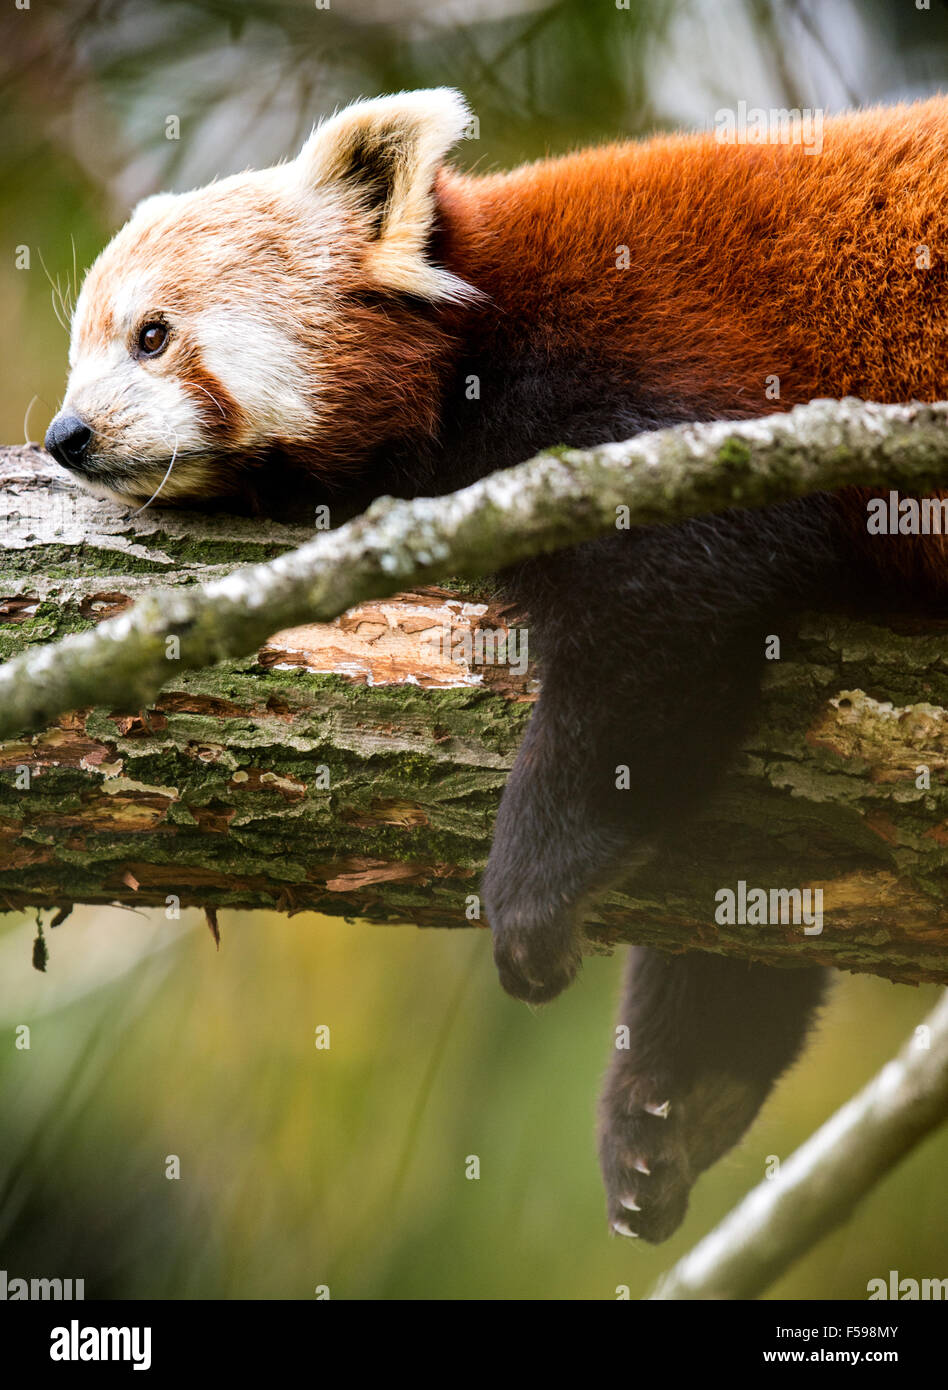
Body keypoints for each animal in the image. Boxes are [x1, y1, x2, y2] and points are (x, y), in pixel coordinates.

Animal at [45, 88, 948, 1243]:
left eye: (151, 335)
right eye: (84, 350)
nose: (66, 433)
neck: (479, 330)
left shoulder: (661, 378)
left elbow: (670, 609)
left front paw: (528, 896)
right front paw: (669, 1106)